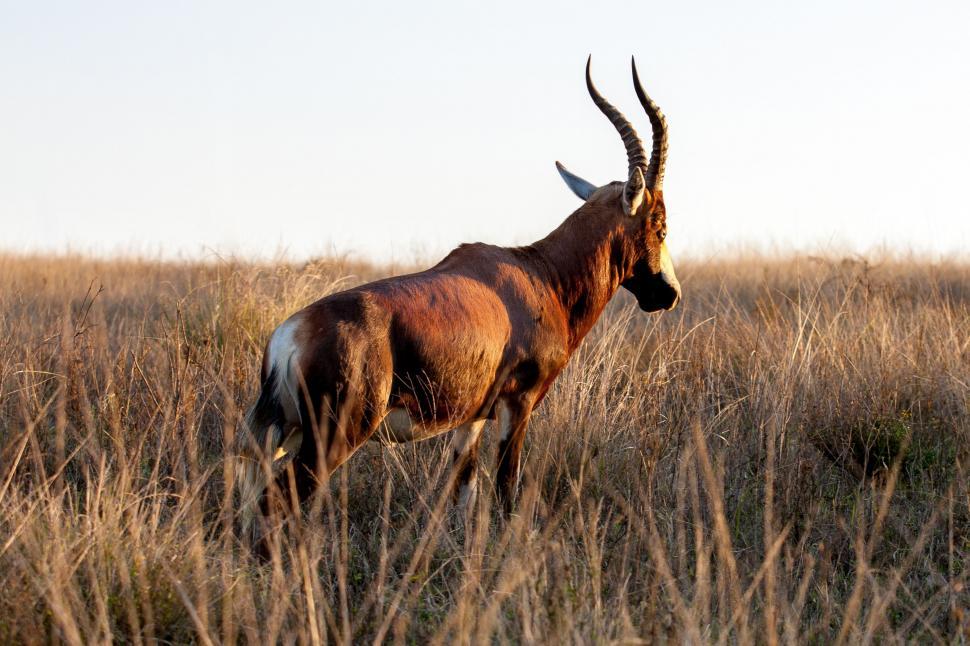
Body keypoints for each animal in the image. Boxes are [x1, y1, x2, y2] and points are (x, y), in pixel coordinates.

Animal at [237, 57, 680, 538]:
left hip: (282, 432)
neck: (538, 273)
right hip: (332, 438)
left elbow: (463, 492)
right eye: (660, 224)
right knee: (272, 502)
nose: (669, 294)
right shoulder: (519, 402)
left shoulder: (473, 417)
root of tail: (289, 337)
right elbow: (506, 486)